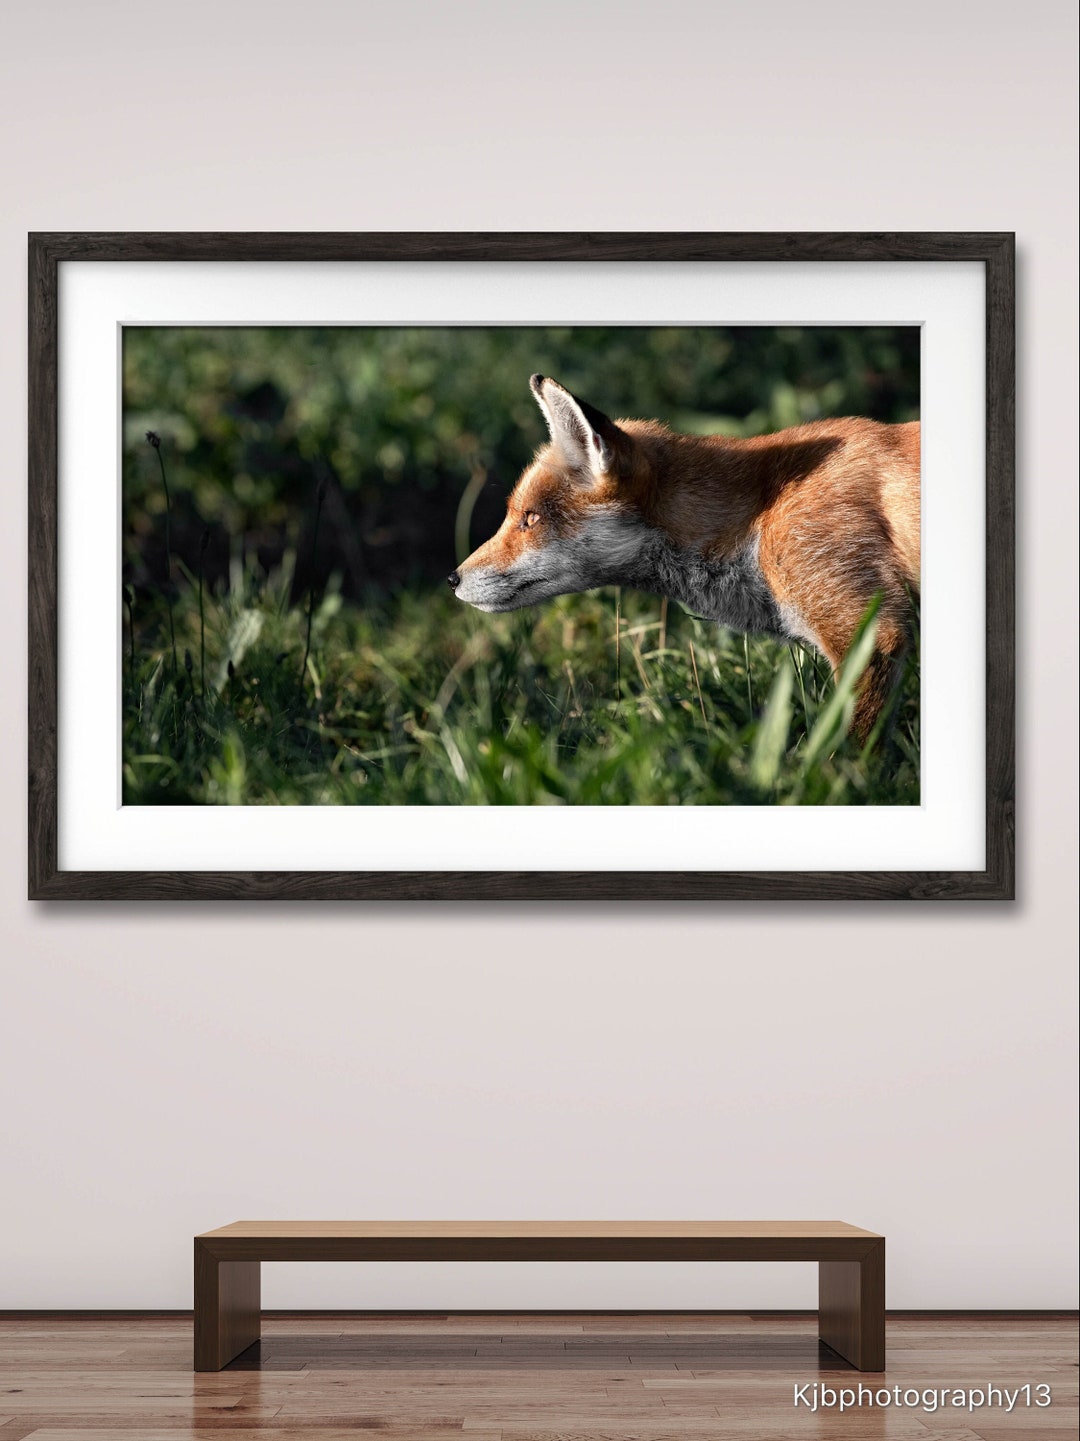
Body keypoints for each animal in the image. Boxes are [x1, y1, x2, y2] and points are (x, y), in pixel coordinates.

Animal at [449, 374, 920, 742]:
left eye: (529, 519)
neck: (760, 513)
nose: (452, 579)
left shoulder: (870, 632)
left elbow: (846, 753)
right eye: (514, 515)